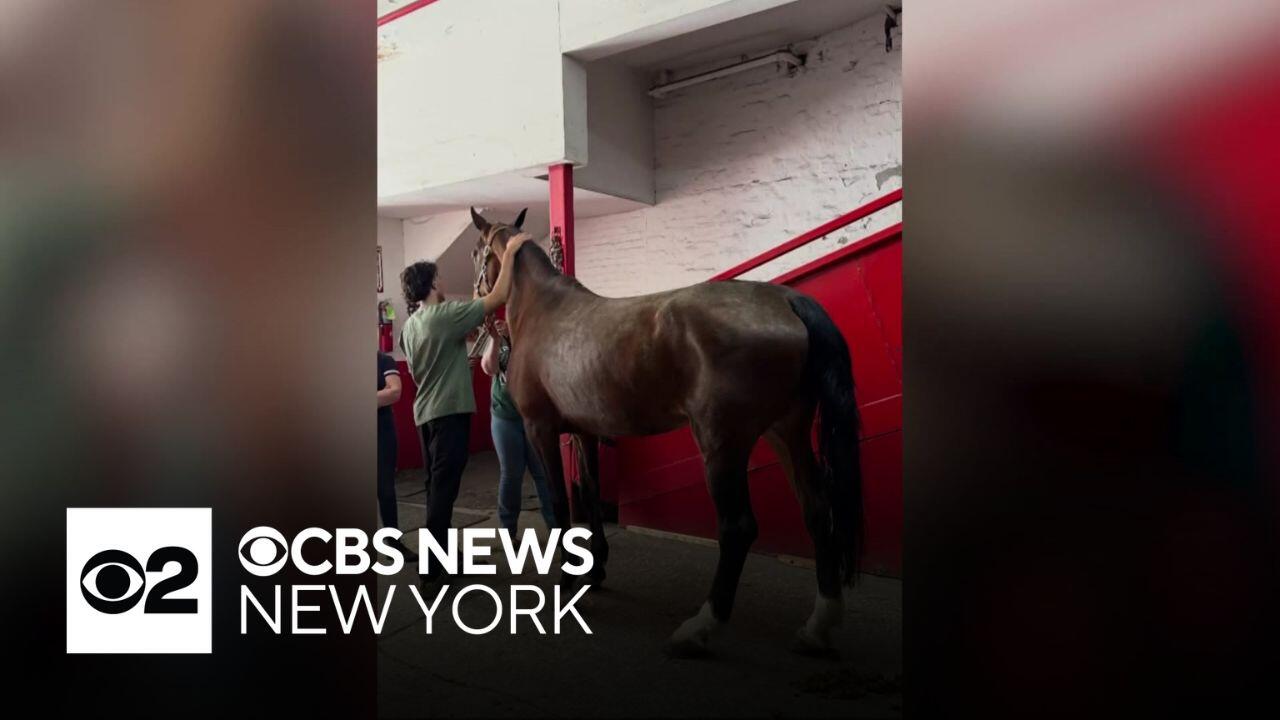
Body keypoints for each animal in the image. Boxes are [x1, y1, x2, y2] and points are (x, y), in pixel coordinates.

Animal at [469, 207, 863, 657]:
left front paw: (568, 582)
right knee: (816, 508)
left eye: (475, 252)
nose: (475, 300)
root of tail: (786, 301)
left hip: (723, 445)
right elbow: (589, 491)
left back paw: (700, 628)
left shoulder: (542, 430)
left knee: (738, 527)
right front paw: (595, 570)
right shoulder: (585, 432)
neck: (545, 312)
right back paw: (818, 625)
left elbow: (560, 502)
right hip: (787, 434)